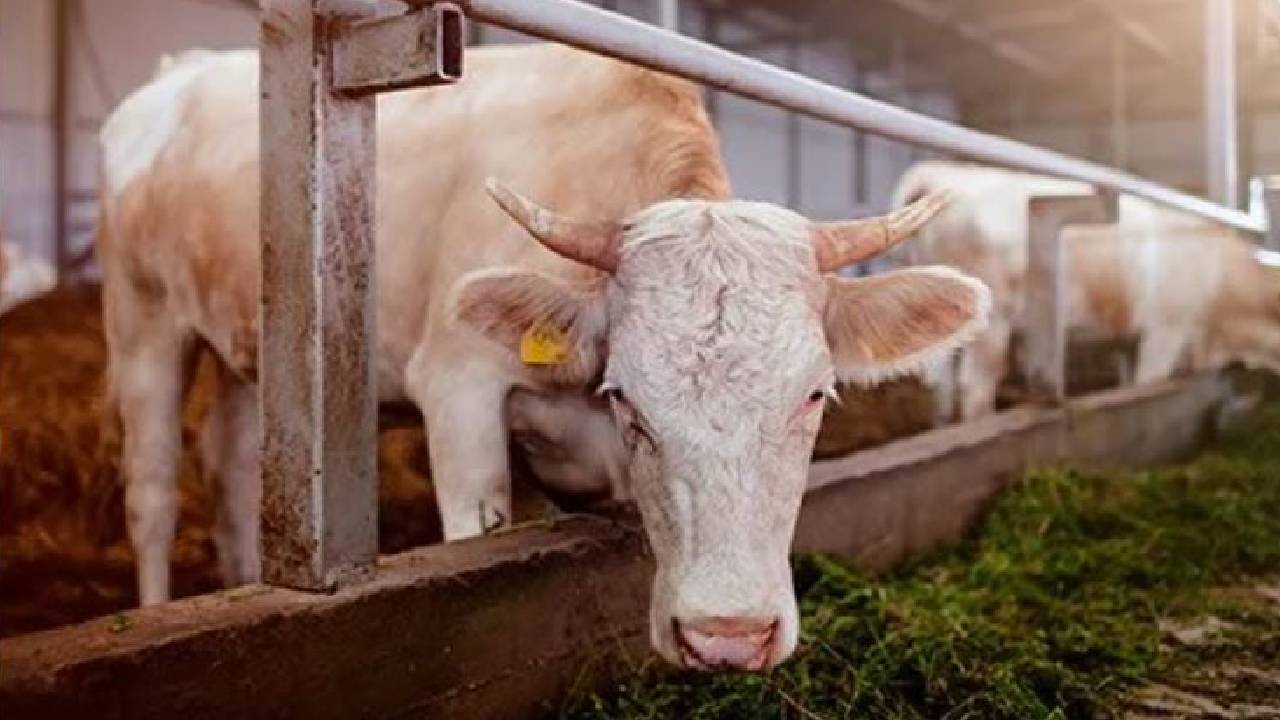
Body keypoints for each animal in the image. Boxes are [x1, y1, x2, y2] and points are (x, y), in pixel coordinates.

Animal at [97, 45, 989, 670]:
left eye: (814, 396)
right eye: (627, 397)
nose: (728, 636)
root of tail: (178, 74)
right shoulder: (457, 389)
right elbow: (475, 529)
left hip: (242, 345)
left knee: (232, 473)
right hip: (141, 316)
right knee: (152, 490)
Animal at [889, 160, 1280, 422]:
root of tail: (943, 174)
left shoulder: (1130, 339)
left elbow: (1127, 385)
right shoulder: (1166, 330)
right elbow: (1148, 383)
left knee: (940, 388)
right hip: (993, 320)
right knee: (975, 388)